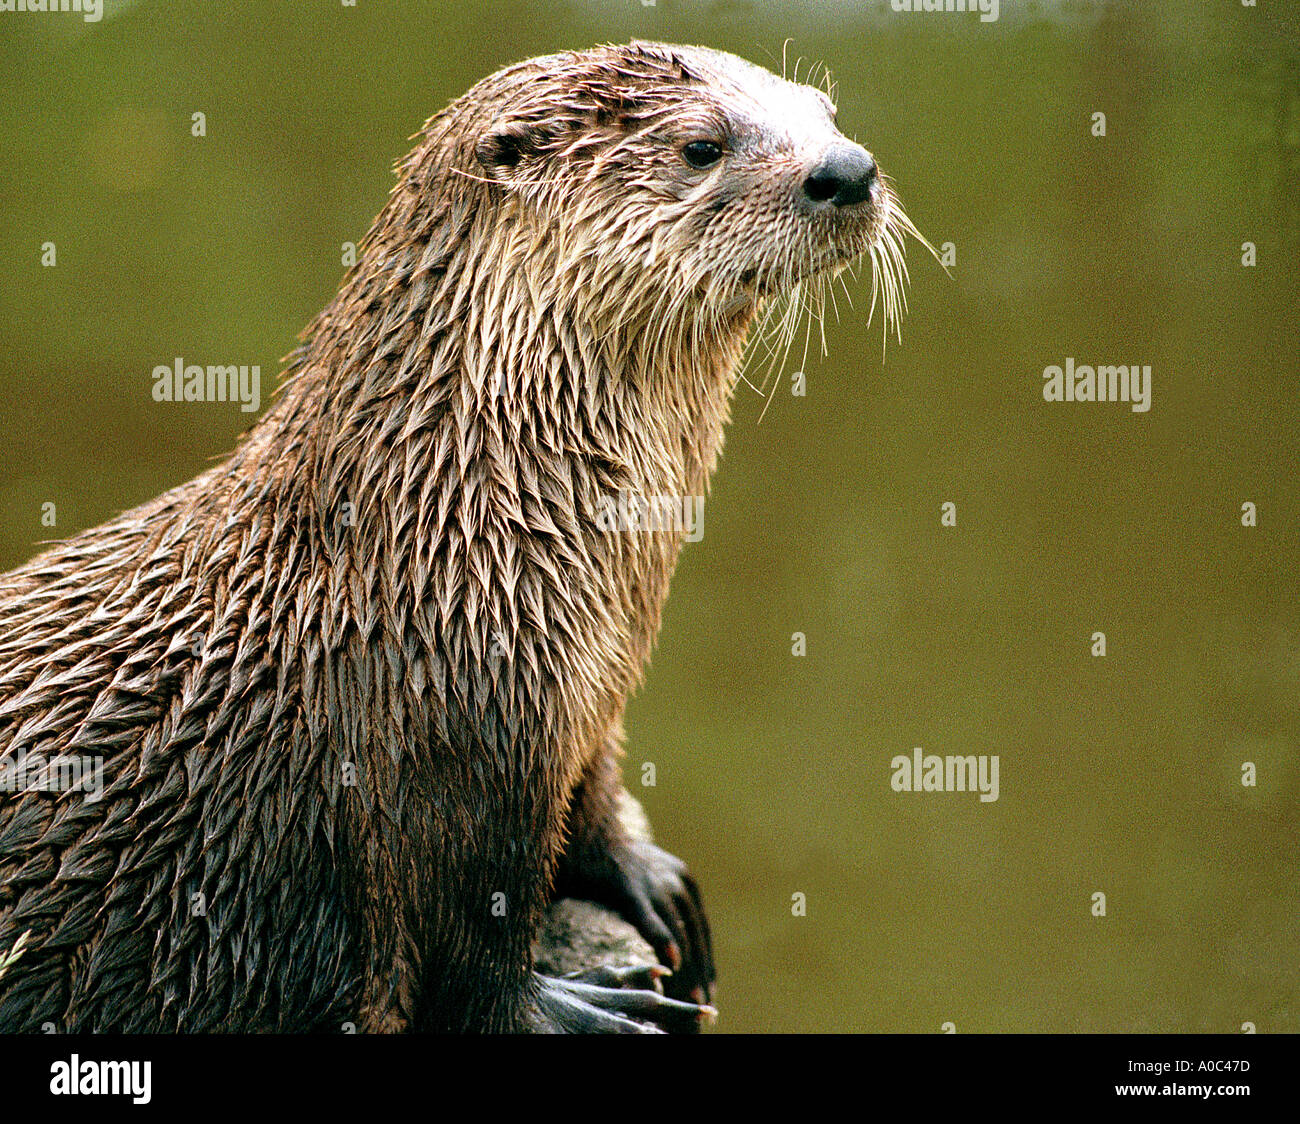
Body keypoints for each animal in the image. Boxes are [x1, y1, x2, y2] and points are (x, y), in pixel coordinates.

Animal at [0, 41, 913, 1032]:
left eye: (825, 111)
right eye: (701, 146)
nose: (849, 170)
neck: (449, 535)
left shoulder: (583, 706)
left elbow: (591, 797)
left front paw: (650, 878)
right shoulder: (446, 762)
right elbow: (468, 952)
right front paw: (575, 1005)